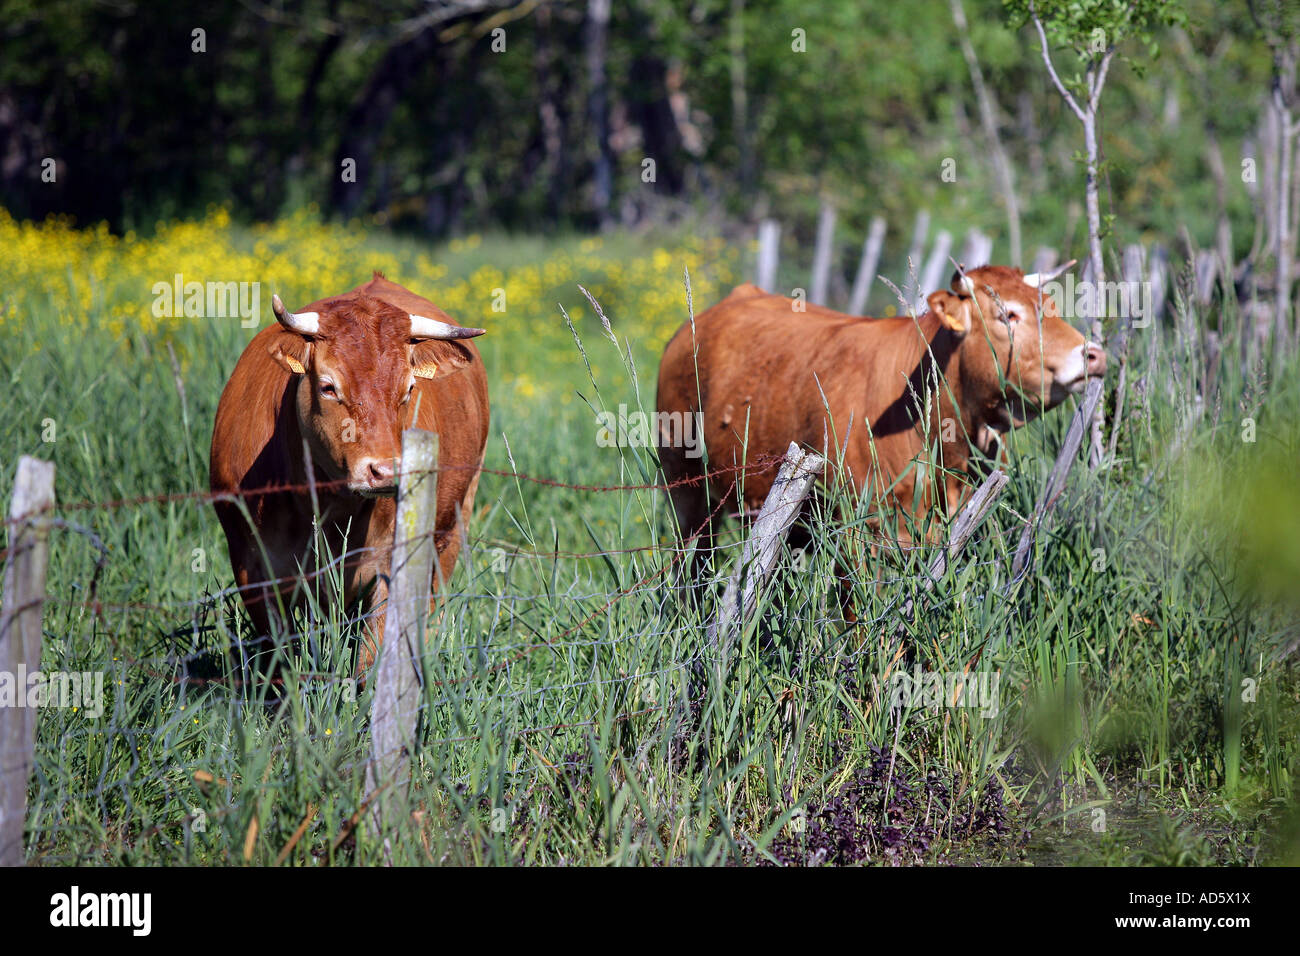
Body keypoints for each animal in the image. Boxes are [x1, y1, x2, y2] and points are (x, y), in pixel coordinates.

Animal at [209, 273, 490, 679]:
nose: (386, 470)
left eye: (409, 389)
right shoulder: (251, 567)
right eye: (328, 387)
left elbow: (371, 663)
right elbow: (280, 666)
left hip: (455, 520)